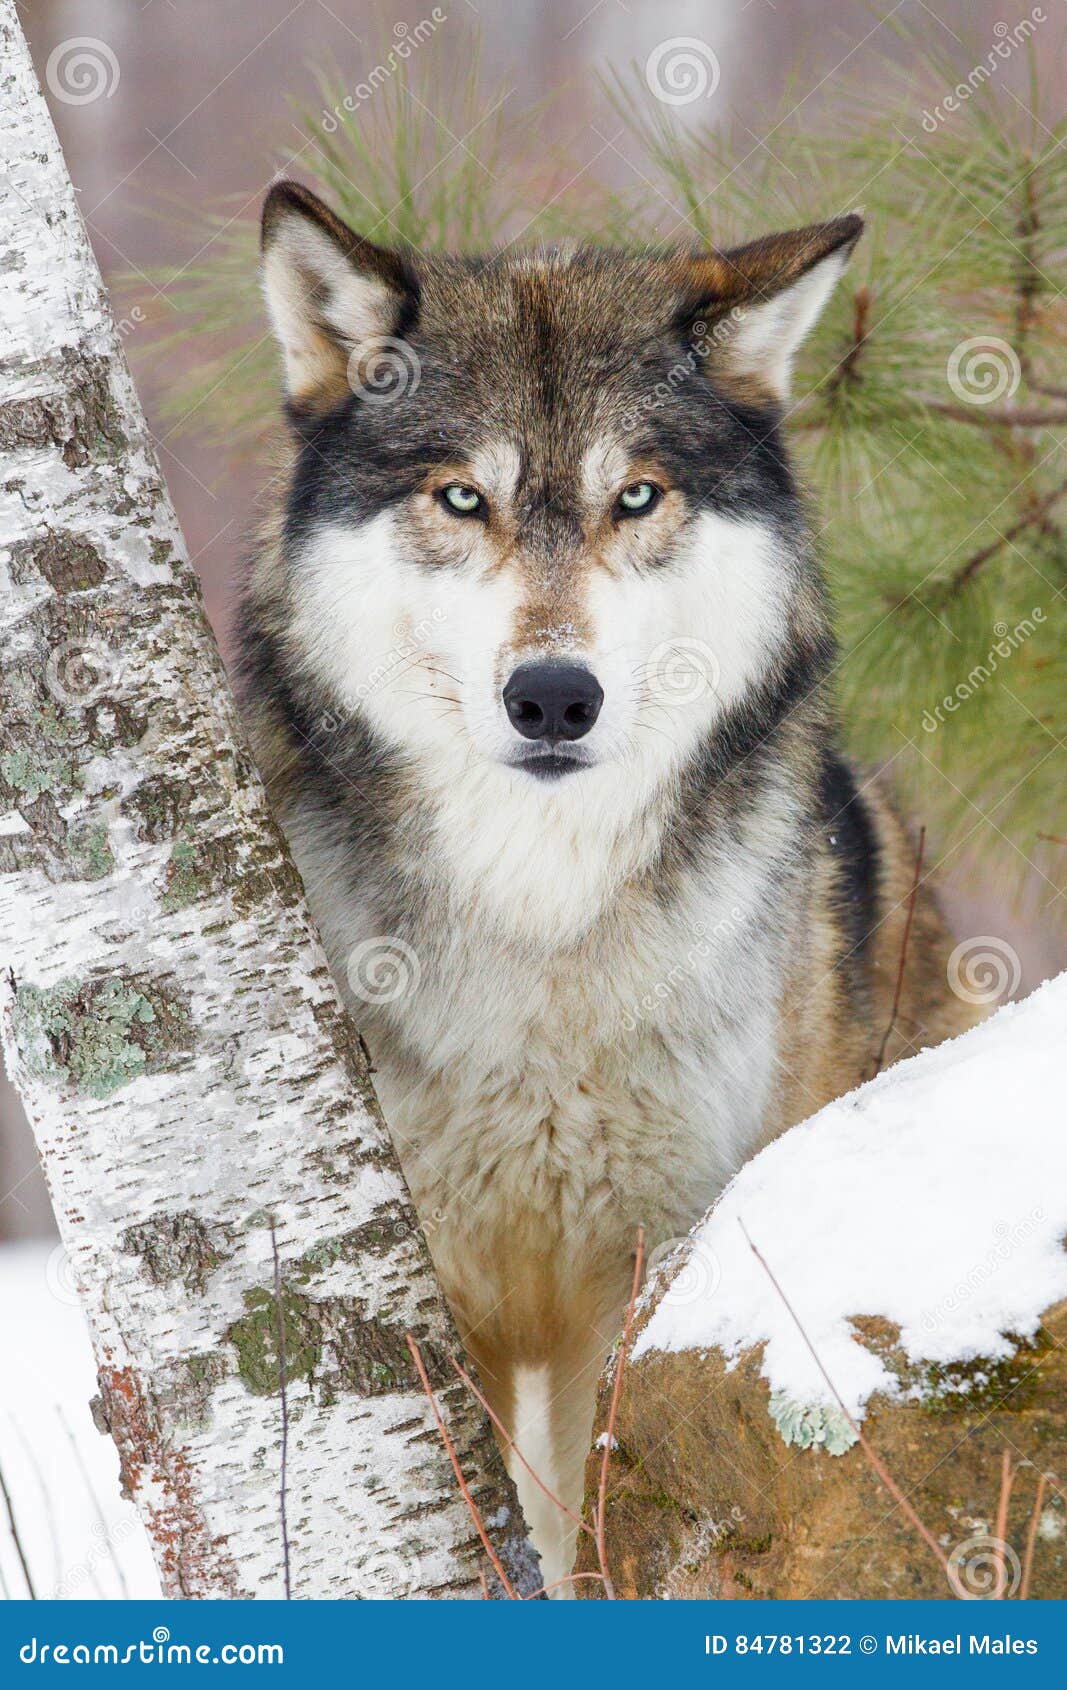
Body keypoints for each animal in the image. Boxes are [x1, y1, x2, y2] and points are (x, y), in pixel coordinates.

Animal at [239, 180, 975, 1588]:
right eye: (460, 496)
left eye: (634, 494)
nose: (551, 696)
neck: (538, 915)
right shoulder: (445, 1297)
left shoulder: (632, 1284)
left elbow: (593, 1532)